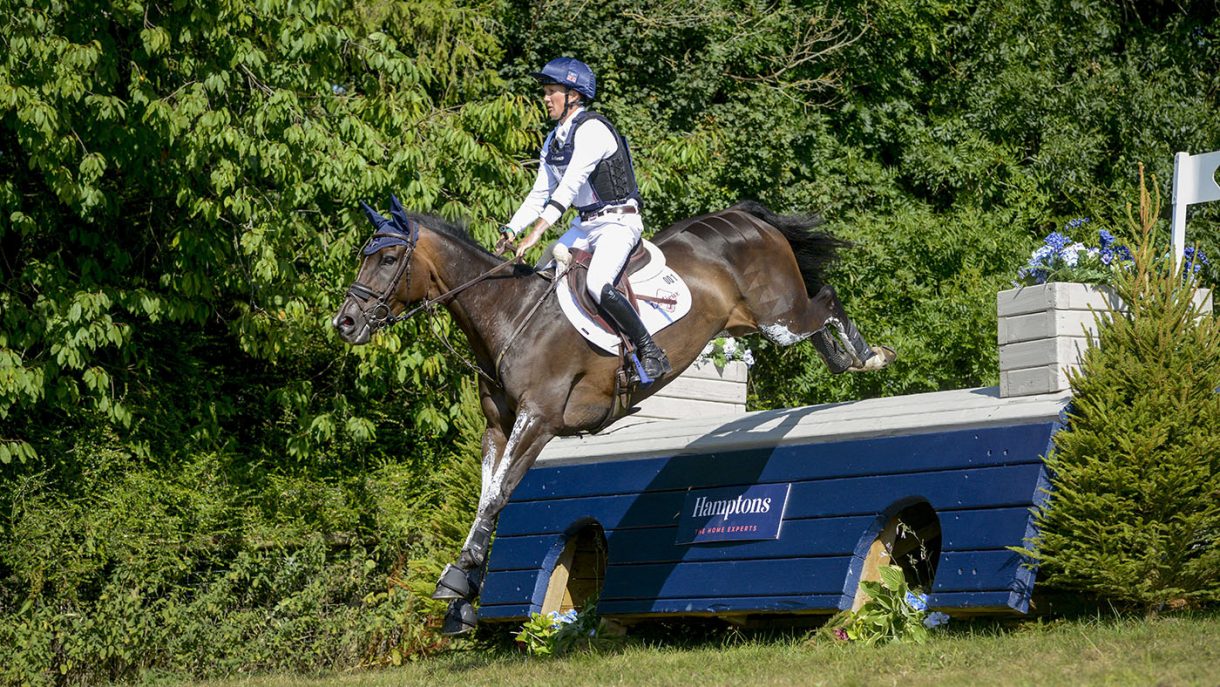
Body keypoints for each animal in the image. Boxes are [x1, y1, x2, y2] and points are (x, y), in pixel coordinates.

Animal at [332, 197, 895, 634]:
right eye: (364, 257)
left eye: (387, 258)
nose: (346, 323)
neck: (510, 316)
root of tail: (744, 217)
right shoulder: (499, 426)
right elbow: (487, 499)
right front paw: (462, 597)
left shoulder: (538, 421)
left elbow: (496, 496)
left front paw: (458, 580)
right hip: (760, 323)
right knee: (819, 322)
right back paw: (847, 361)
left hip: (780, 316)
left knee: (826, 301)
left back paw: (869, 357)